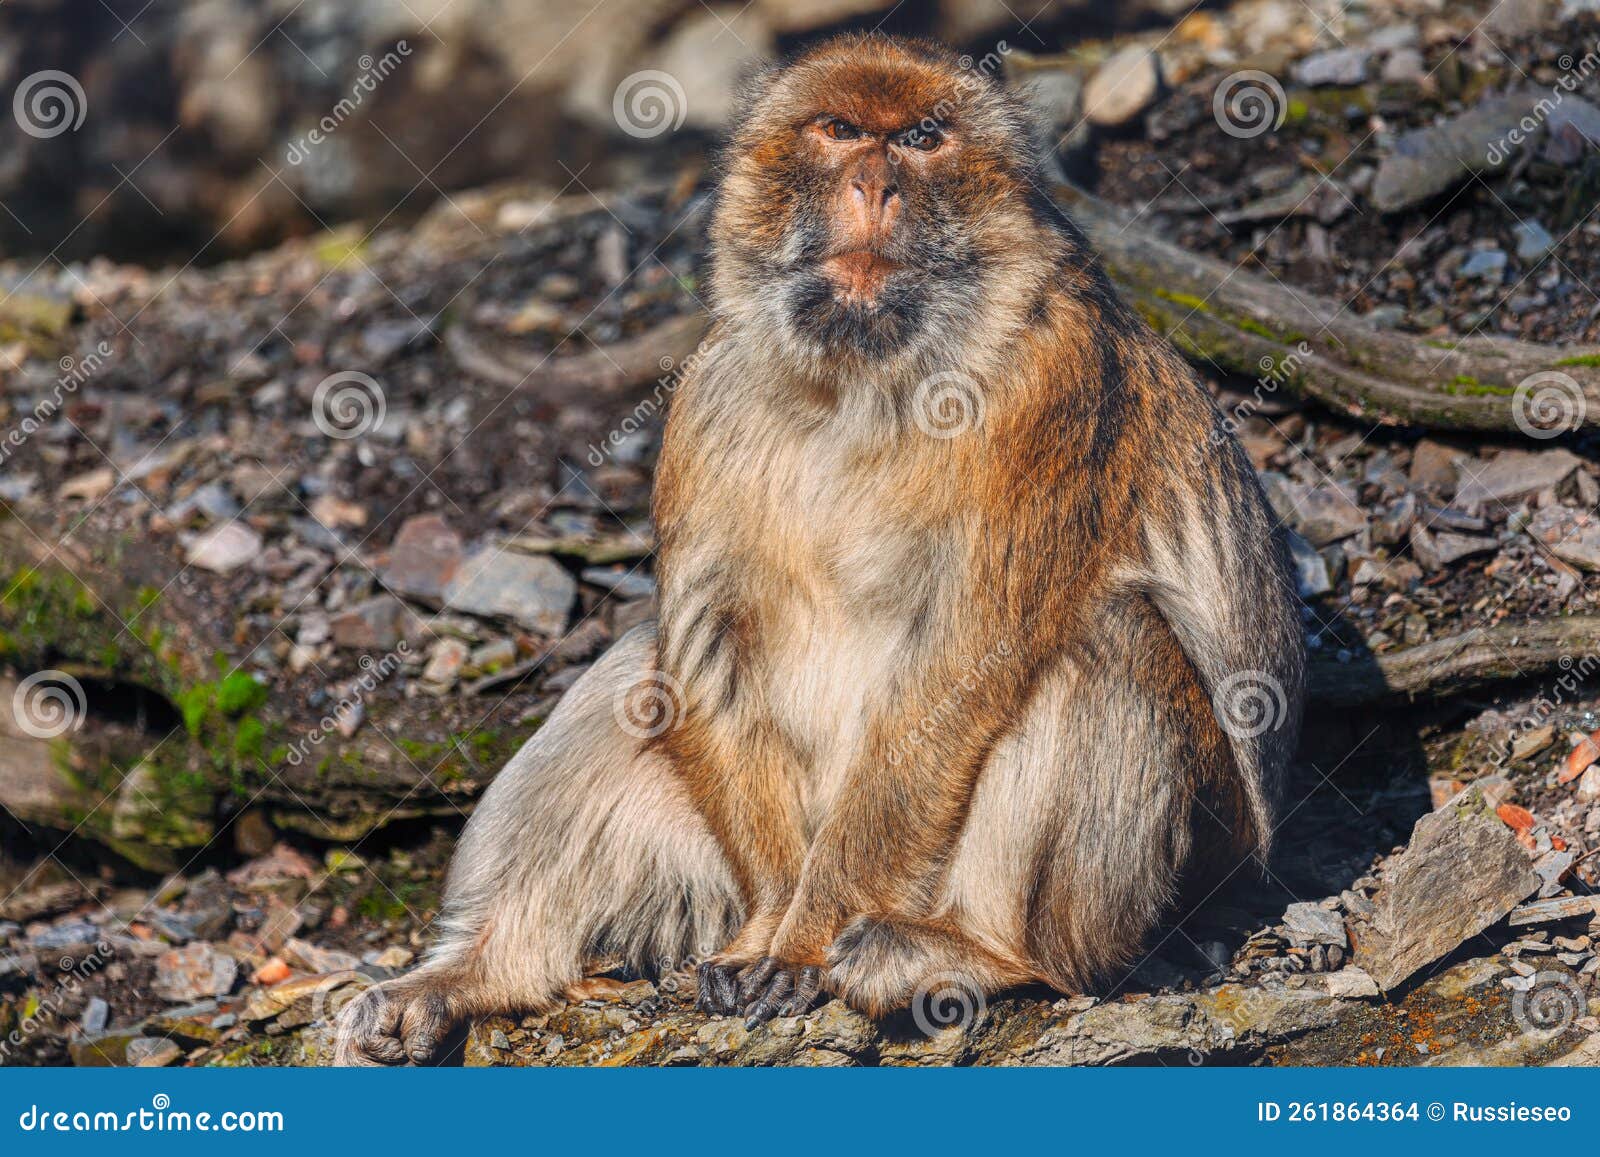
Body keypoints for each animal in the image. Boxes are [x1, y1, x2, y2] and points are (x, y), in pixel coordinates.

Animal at [334, 33, 1304, 1065]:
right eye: (838, 130)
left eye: (920, 139)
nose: (873, 183)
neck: (861, 380)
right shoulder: (711, 394)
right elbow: (707, 650)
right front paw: (772, 924)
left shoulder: (1050, 387)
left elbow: (962, 663)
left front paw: (803, 940)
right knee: (641, 671)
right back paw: (476, 972)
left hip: (1182, 865)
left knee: (1106, 636)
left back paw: (982, 953)